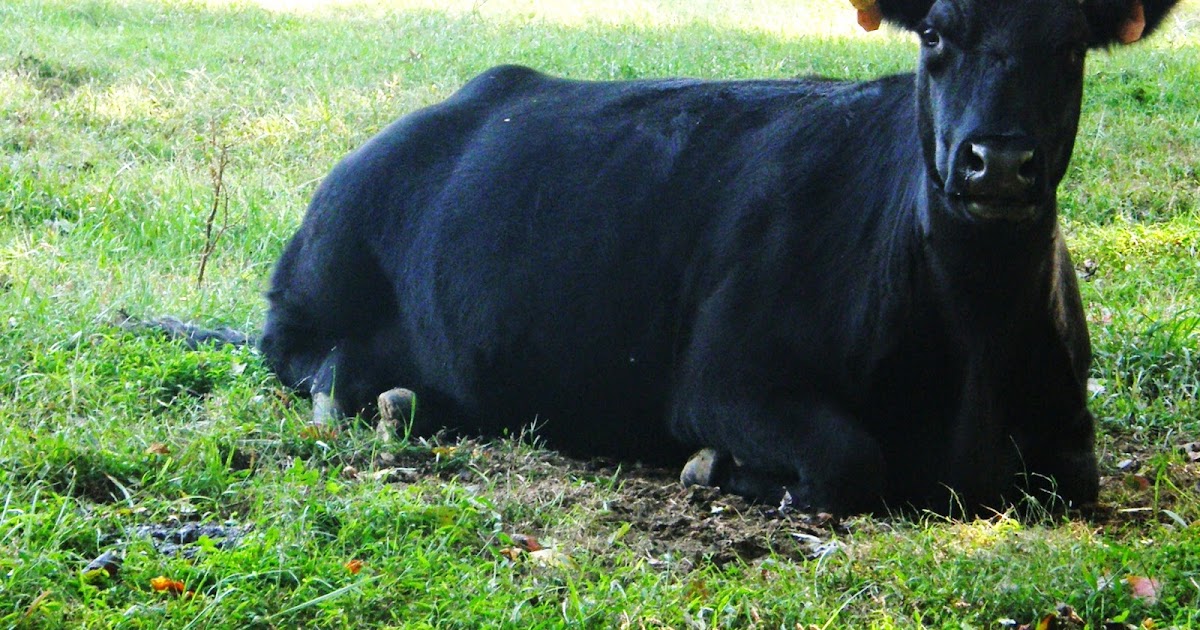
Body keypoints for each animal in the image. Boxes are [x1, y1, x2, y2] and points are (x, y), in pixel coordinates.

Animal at [251, 0, 1180, 515]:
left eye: (1072, 44)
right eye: (935, 34)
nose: (998, 160)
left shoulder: (1067, 420)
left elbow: (1080, 473)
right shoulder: (723, 379)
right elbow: (850, 459)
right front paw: (717, 469)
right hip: (313, 282)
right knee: (307, 359)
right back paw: (371, 395)